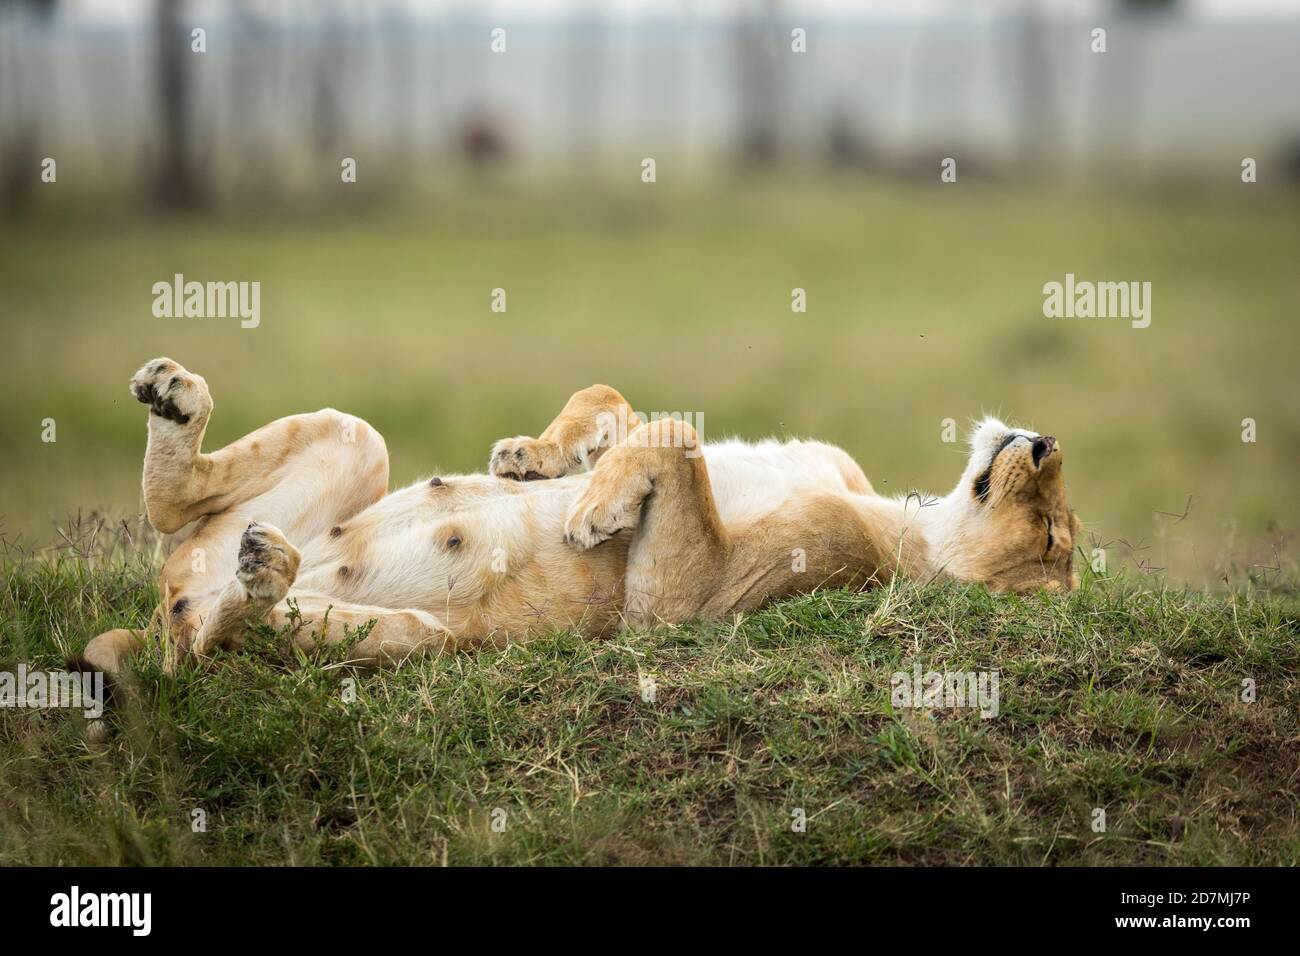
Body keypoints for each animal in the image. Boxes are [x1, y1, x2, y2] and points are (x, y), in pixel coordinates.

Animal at [75, 357, 1080, 679]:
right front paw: (537, 459)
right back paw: (173, 399)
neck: (904, 516)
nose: (1045, 443)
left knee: (226, 644)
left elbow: (677, 445)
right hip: (354, 443)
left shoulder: (693, 605)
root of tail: (171, 612)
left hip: (419, 641)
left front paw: (594, 512)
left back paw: (261, 575)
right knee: (173, 509)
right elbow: (625, 407)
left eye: (1053, 541)